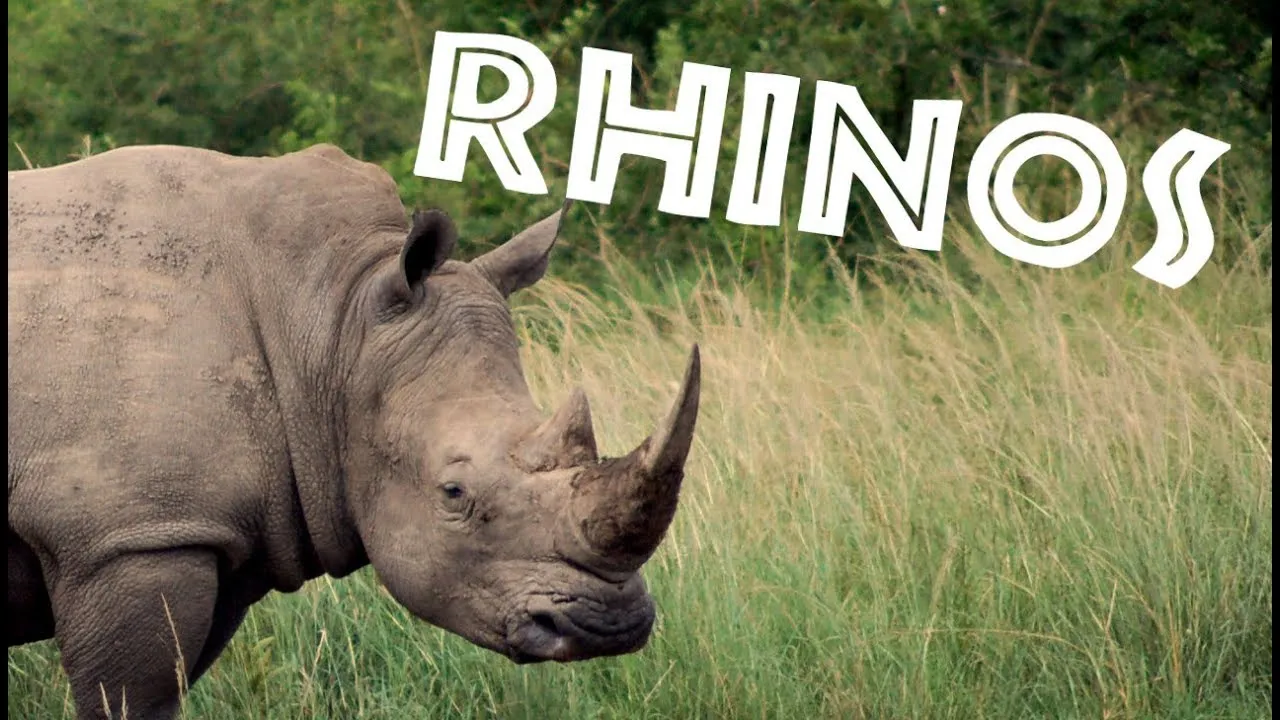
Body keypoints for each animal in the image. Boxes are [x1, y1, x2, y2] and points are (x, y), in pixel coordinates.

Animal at [7, 143, 701, 720]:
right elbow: (130, 701)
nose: (608, 627)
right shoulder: (131, 538)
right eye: (453, 493)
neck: (333, 317)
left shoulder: (202, 533)